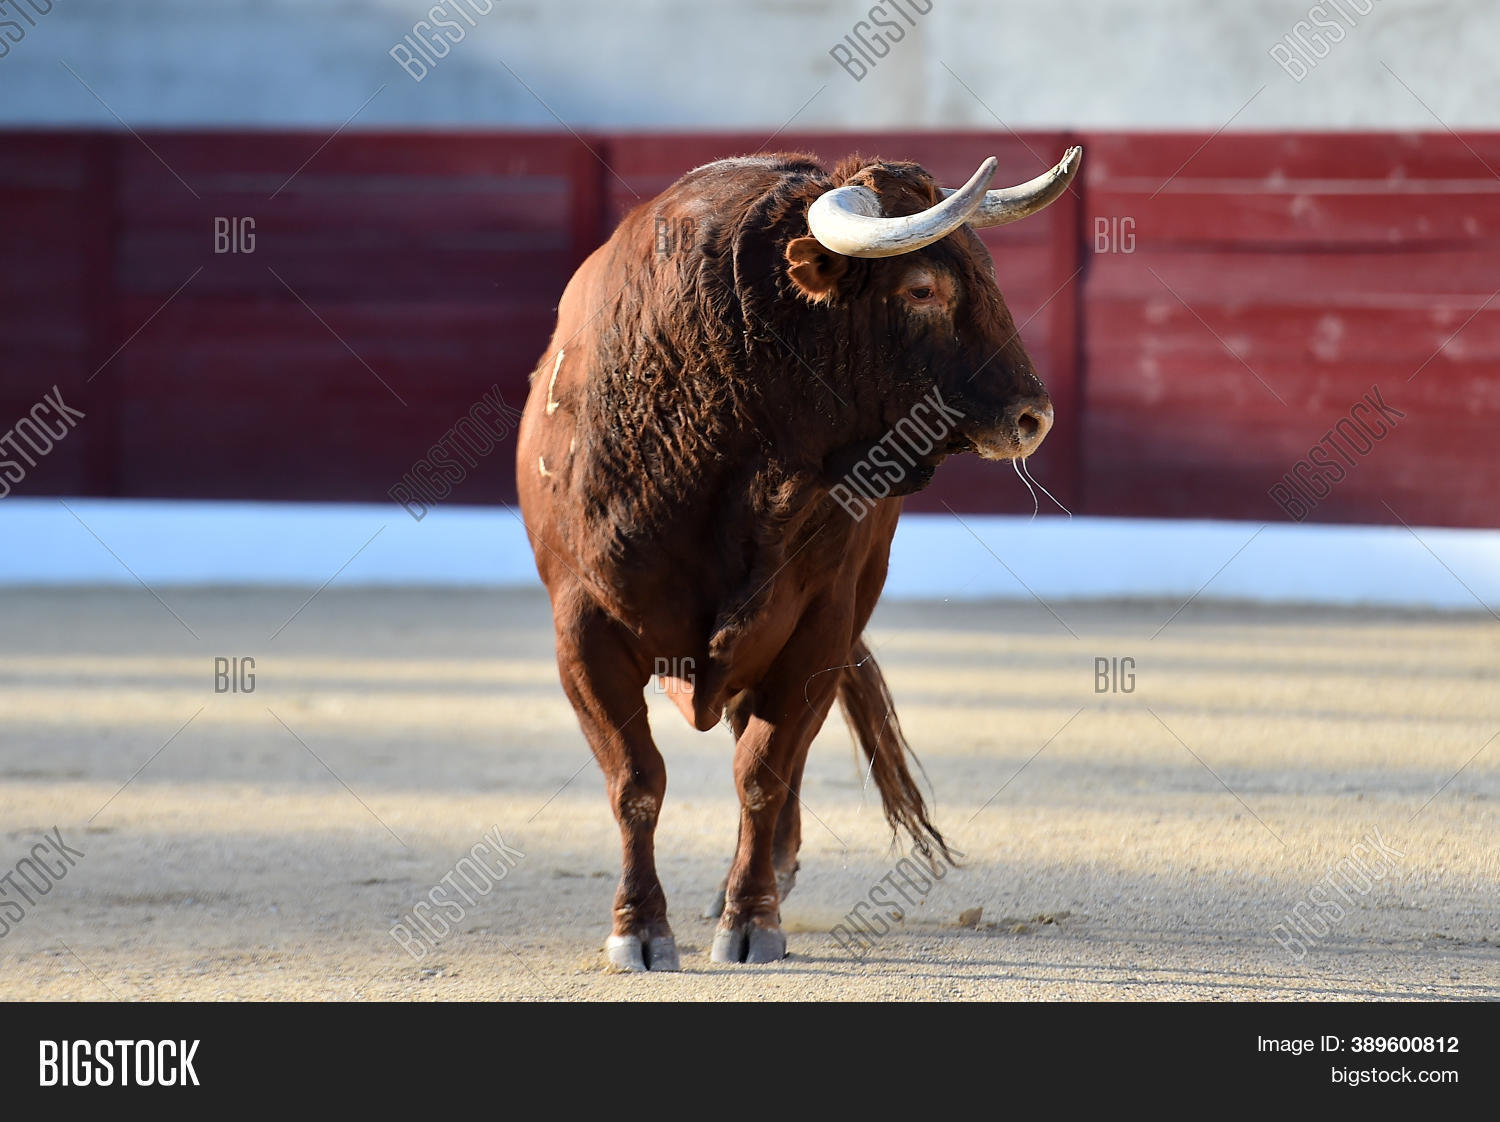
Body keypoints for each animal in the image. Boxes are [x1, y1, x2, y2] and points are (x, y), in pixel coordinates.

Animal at [516, 145, 1081, 969]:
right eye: (922, 287)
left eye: (989, 271)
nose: (1033, 415)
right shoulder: (583, 629)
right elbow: (635, 780)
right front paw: (638, 929)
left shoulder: (818, 623)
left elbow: (764, 771)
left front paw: (751, 920)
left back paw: (762, 876)